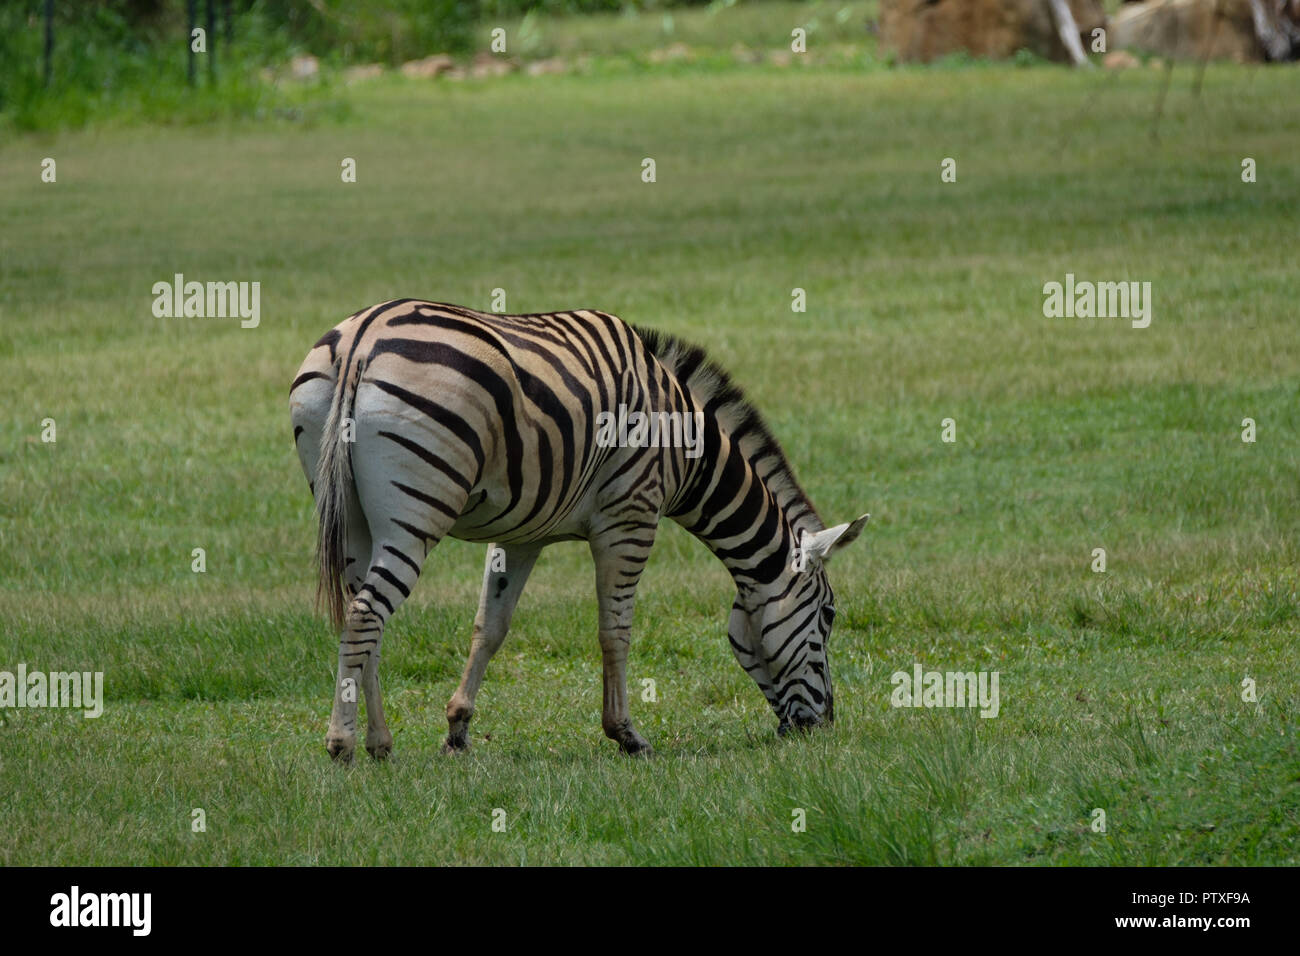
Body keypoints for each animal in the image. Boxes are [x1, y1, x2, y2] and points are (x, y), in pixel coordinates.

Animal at [289, 299, 868, 761]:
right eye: (829, 615)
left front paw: (457, 730)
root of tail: (363, 338)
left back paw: (380, 743)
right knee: (366, 613)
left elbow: (490, 628)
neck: (685, 446)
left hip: (351, 516)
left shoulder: (520, 535)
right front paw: (626, 734)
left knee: (362, 616)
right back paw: (342, 744)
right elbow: (615, 630)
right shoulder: (630, 517)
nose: (824, 726)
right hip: (417, 511)